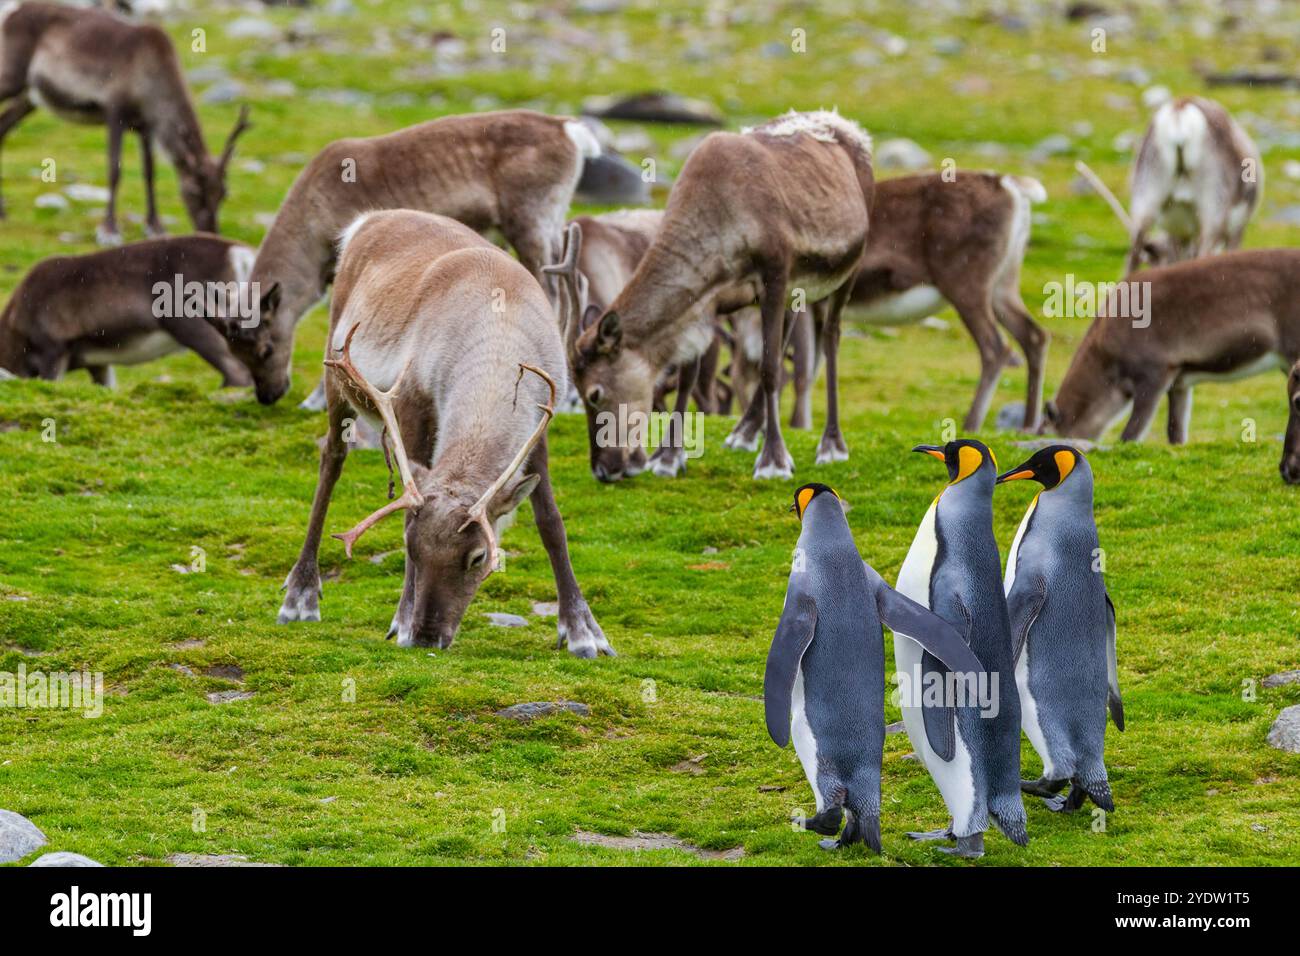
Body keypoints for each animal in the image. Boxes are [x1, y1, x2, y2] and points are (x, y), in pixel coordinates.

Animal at [0, 1, 251, 244]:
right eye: (193, 190)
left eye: (224, 193)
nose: (210, 231)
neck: (153, 80)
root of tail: (9, 11)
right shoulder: (115, 111)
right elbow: (114, 170)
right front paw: (109, 229)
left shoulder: (145, 127)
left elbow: (149, 173)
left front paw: (155, 226)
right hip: (11, 79)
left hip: (30, 97)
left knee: (4, 127)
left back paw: (3, 208)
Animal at [202, 109, 601, 407]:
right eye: (235, 352)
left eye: (266, 348)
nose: (268, 396)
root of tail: (569, 130)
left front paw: (315, 399)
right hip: (551, 225)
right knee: (575, 280)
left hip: (530, 223)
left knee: (552, 291)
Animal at [276, 209, 613, 658]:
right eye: (412, 550)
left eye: (478, 556)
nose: (426, 636)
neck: (498, 337)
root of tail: (368, 220)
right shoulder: (411, 406)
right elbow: (404, 511)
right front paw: (401, 621)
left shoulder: (537, 426)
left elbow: (551, 522)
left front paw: (583, 630)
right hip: (337, 374)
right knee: (330, 461)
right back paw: (301, 595)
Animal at [571, 110, 874, 482]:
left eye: (594, 394)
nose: (602, 469)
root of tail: (849, 126)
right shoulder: (708, 302)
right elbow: (688, 376)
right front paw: (668, 458)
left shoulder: (774, 273)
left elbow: (769, 370)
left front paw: (774, 460)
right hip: (797, 287)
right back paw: (744, 431)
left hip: (849, 265)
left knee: (831, 336)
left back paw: (831, 444)